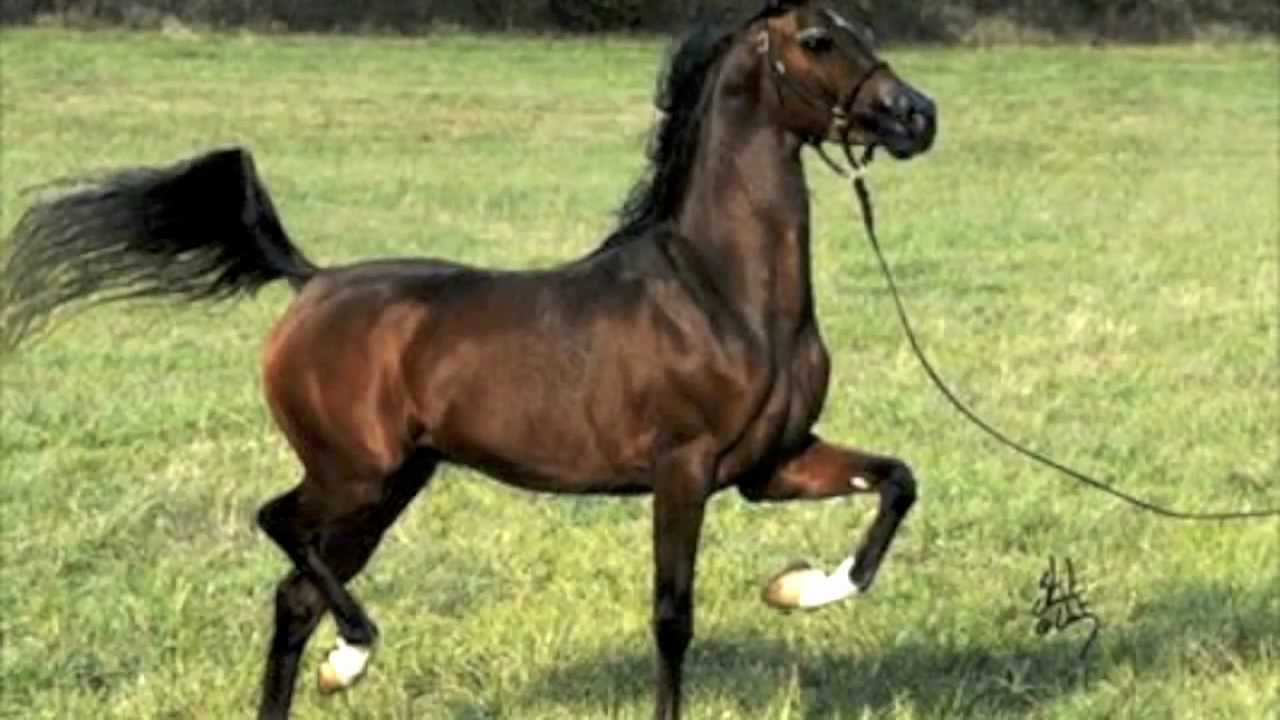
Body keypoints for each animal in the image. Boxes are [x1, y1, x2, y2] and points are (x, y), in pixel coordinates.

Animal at [0, 1, 936, 718]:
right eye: (817, 39)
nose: (917, 115)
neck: (721, 292)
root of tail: (310, 281)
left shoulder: (770, 466)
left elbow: (896, 481)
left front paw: (801, 588)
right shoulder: (684, 471)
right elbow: (672, 617)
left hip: (391, 484)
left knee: (294, 596)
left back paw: (332, 666)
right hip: (354, 475)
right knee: (277, 526)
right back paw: (354, 655)